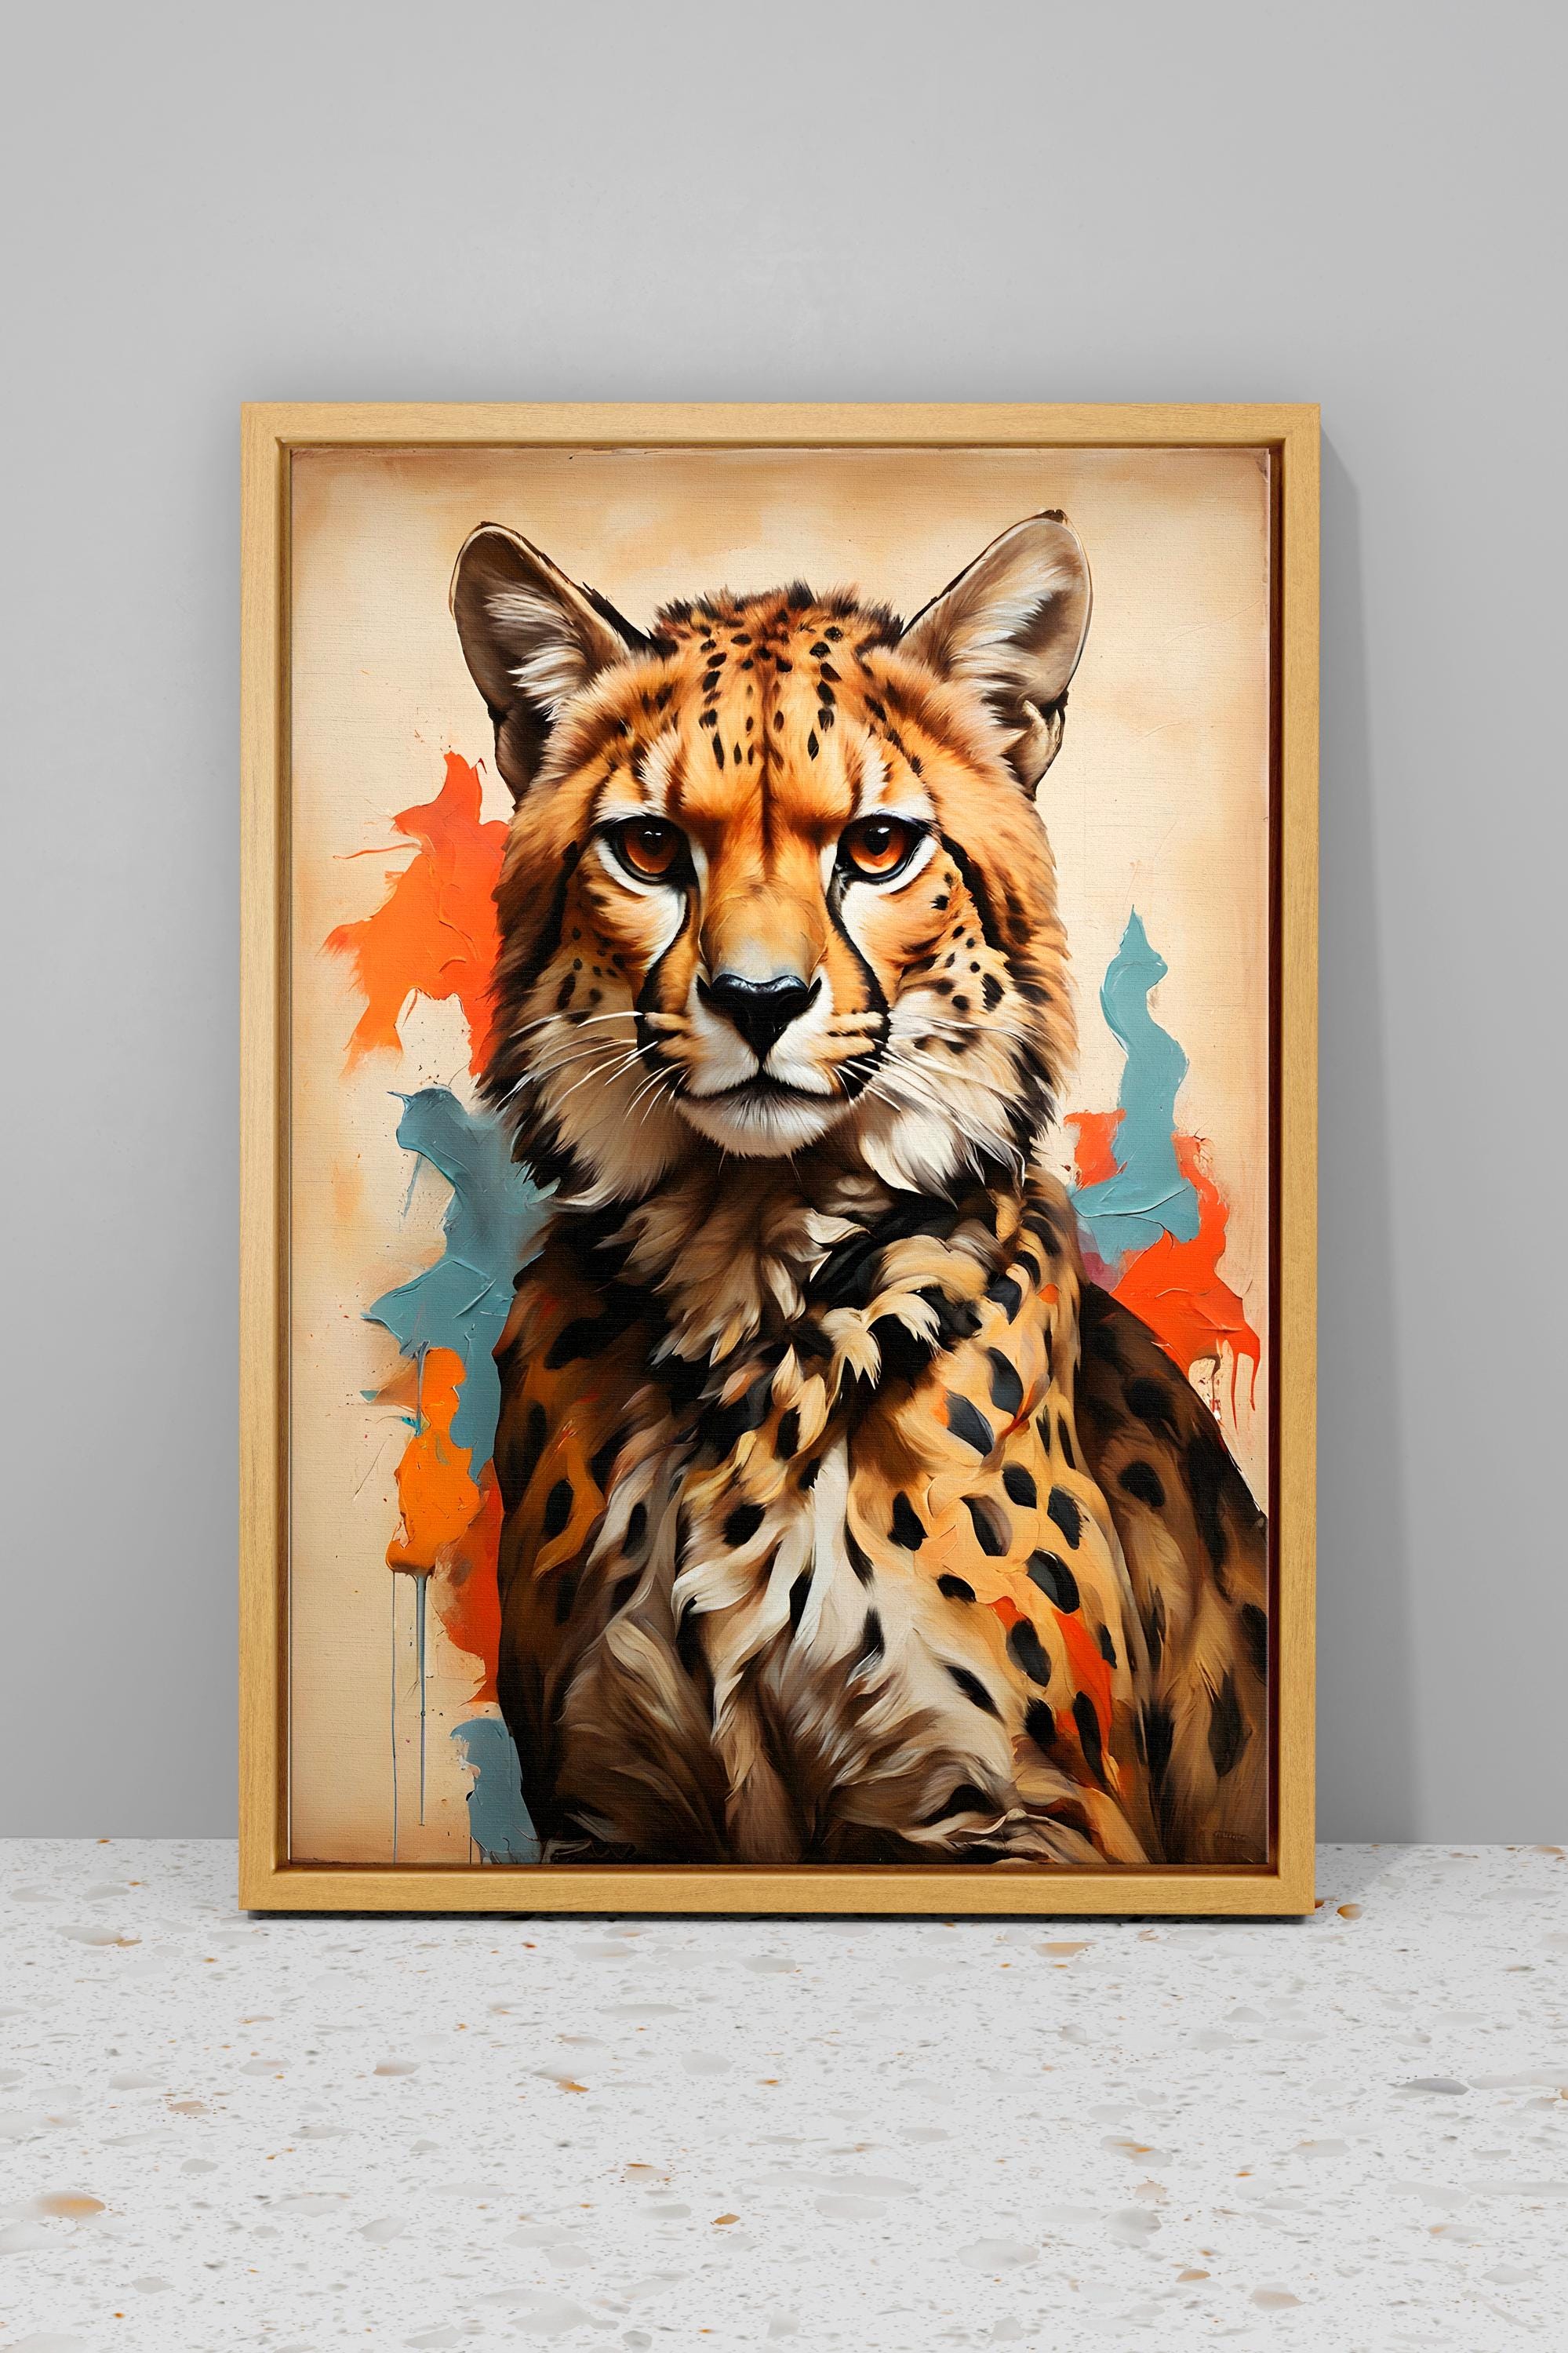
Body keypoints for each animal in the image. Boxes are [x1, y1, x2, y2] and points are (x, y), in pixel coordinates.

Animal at [450, 509, 1270, 1869]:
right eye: (650, 847)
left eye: (877, 848)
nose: (759, 1000)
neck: (744, 1292)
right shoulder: (606, 1815)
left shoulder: (1021, 1816)